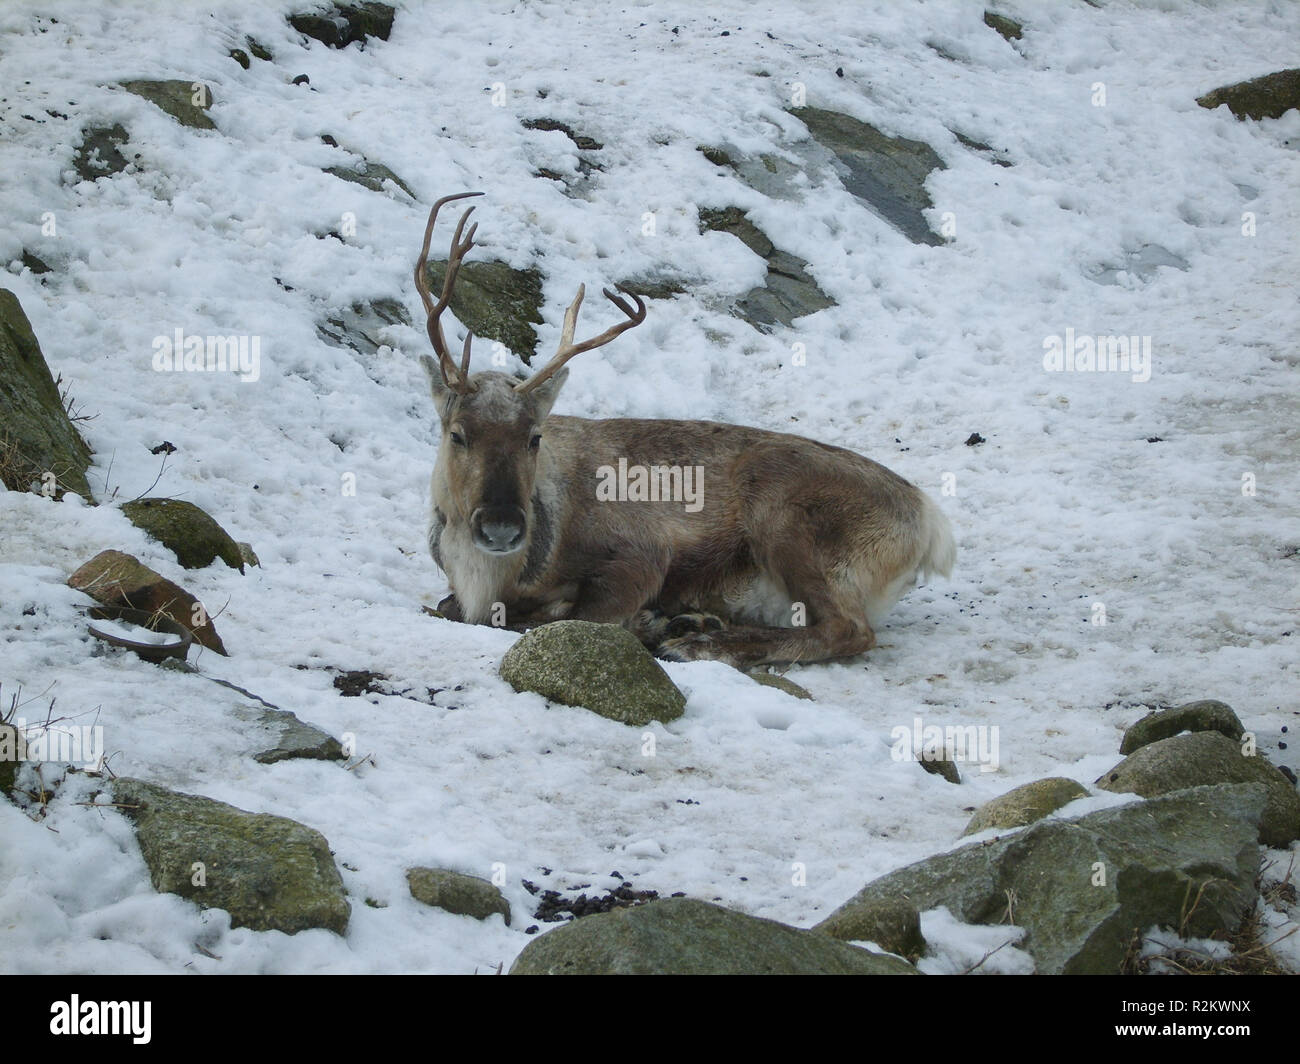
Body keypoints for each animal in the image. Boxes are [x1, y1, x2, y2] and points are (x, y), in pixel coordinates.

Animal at [415, 191, 955, 668]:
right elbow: (451, 606)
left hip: (787, 516)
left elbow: (563, 618)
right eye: (457, 433)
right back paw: (696, 624)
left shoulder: (641, 554)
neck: (496, 578)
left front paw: (647, 621)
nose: (502, 525)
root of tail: (929, 522)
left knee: (847, 629)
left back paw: (698, 641)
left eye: (534, 437)